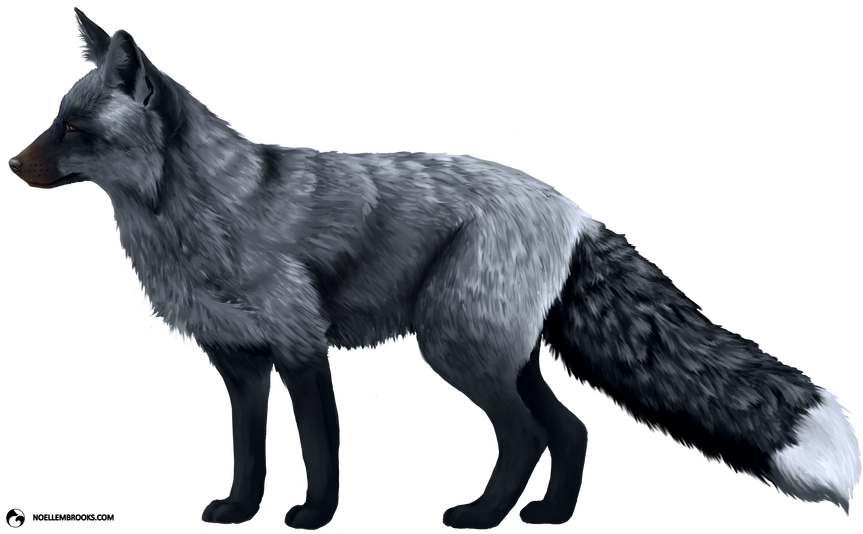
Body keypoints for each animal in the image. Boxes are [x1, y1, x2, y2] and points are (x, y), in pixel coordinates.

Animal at [6, 5, 861, 531]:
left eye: (77, 130)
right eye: (53, 118)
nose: (9, 164)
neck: (195, 215)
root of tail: (572, 204)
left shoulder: (300, 348)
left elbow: (317, 447)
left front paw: (314, 519)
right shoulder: (238, 364)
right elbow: (248, 452)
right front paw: (240, 513)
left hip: (454, 349)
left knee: (524, 436)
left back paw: (480, 518)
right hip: (500, 355)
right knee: (572, 429)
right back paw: (546, 517)